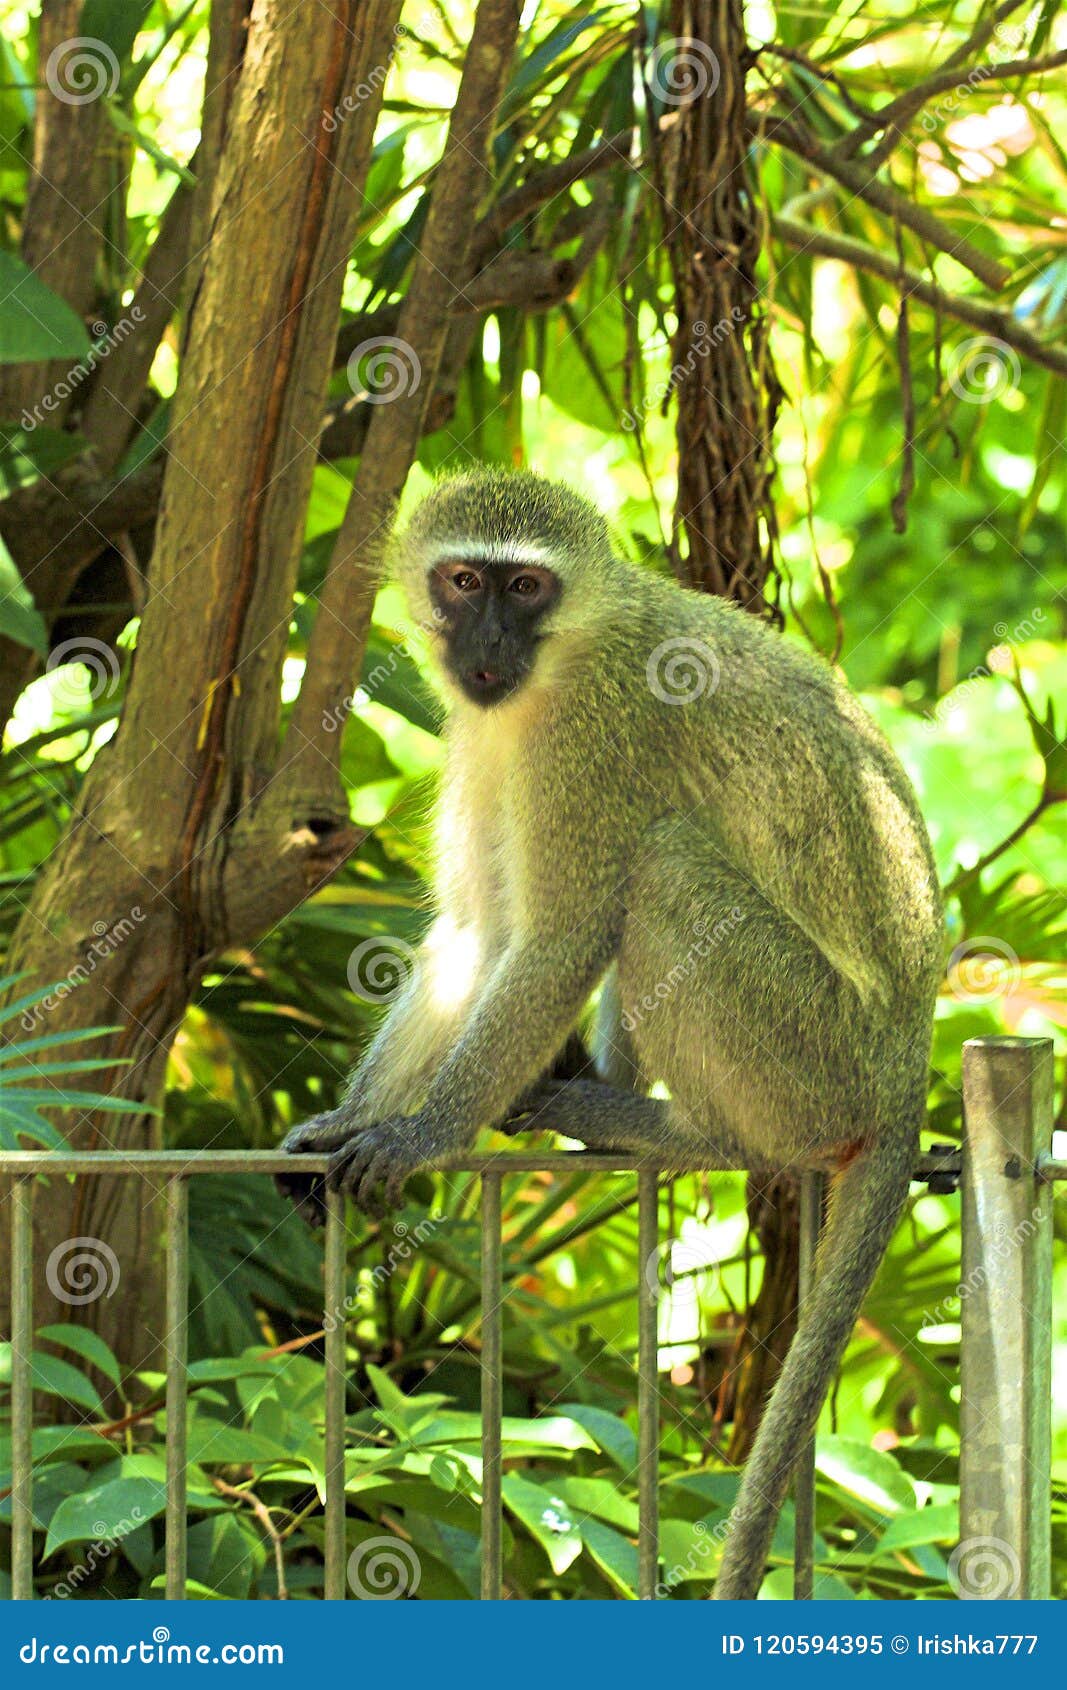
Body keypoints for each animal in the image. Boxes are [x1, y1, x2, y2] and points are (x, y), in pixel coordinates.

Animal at [279, 468, 944, 1599]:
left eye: (525, 586)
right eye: (463, 581)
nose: (486, 644)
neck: (567, 651)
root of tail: (908, 1065)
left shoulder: (591, 738)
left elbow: (557, 939)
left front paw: (419, 1135)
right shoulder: (486, 732)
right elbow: (477, 936)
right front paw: (345, 1123)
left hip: (814, 1054)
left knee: (664, 862)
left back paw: (678, 1130)